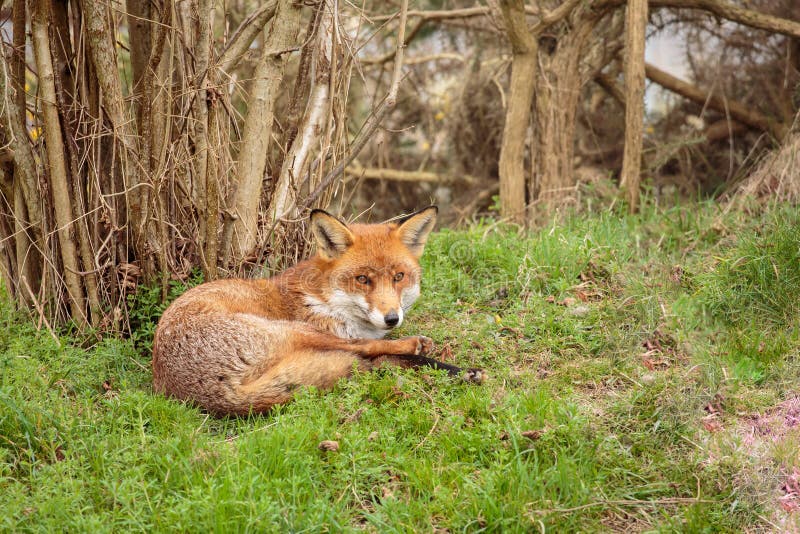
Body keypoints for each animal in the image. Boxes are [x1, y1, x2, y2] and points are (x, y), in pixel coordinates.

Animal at [152, 206, 485, 416]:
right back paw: (422, 350)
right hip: (295, 331)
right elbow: (370, 345)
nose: (392, 318)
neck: (328, 300)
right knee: (366, 350)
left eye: (398, 277)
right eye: (362, 279)